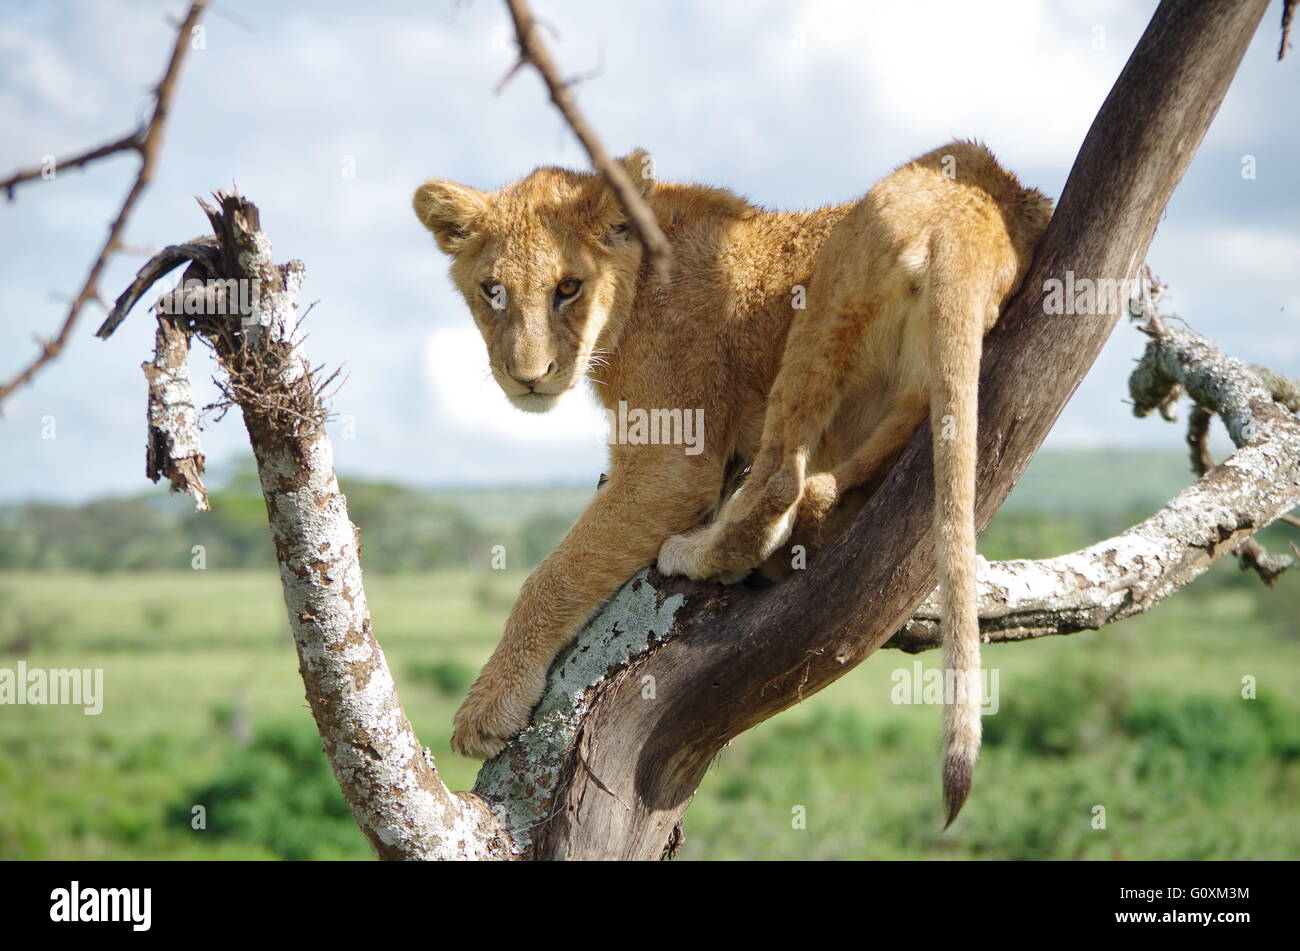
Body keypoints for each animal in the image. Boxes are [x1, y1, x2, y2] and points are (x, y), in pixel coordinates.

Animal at [413, 141, 1052, 822]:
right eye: (493, 291)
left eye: (568, 287)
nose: (528, 377)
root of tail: (984, 201)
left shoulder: (672, 459)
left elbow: (555, 573)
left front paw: (488, 706)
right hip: (925, 384)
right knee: (829, 482)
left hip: (832, 282)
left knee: (780, 482)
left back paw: (704, 552)